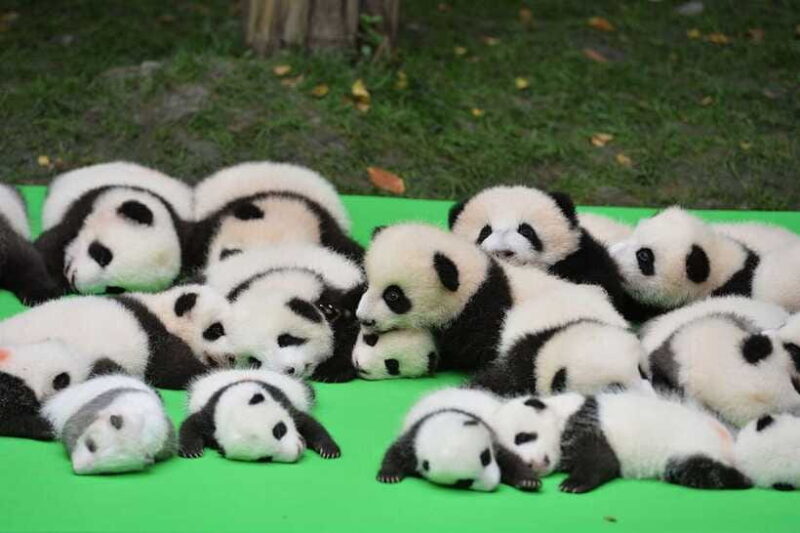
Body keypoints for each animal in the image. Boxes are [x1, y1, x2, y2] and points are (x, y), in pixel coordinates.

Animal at [42, 374, 176, 474]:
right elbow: (70, 429)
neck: (140, 419)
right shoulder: (96, 408)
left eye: (107, 471)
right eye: (91, 446)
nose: (76, 468)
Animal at [179, 369, 340, 462]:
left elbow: (309, 423)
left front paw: (329, 450)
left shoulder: (281, 400)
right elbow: (191, 423)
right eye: (265, 458)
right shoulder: (211, 414)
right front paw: (192, 450)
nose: (298, 450)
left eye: (280, 430)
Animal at [377, 387, 540, 492]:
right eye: (464, 482)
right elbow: (396, 452)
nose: (493, 484)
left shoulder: (491, 435)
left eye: (486, 458)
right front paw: (388, 475)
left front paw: (528, 481)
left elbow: (509, 459)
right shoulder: (414, 438)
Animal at [492, 391, 750, 493]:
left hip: (690, 445)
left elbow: (602, 460)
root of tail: (729, 440)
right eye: (510, 451)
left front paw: (573, 484)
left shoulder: (586, 422)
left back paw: (741, 478)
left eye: (523, 437)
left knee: (705, 471)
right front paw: (526, 479)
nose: (531, 463)